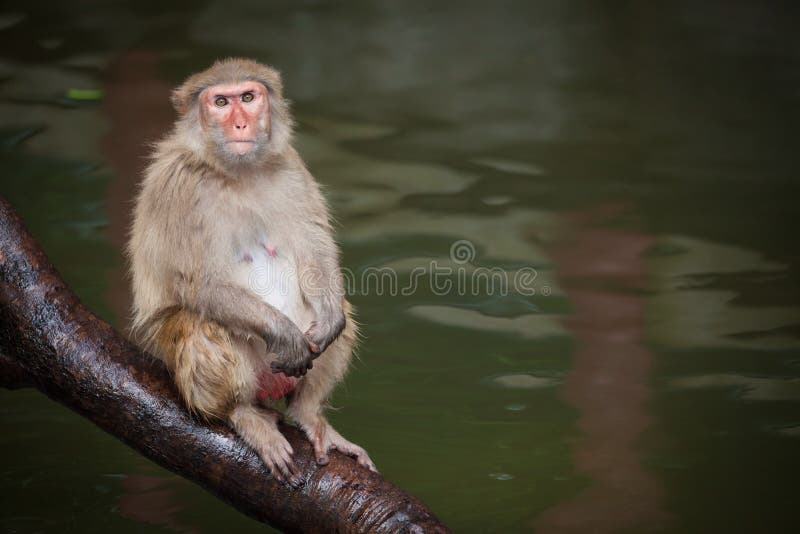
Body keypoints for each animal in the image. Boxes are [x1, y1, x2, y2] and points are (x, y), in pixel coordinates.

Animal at [127, 58, 375, 485]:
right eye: (221, 102)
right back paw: (240, 413)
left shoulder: (291, 168)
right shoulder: (178, 184)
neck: (236, 172)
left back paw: (307, 411)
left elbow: (315, 251)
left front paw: (328, 321)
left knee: (337, 311)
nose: (240, 124)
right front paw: (285, 334)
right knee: (198, 326)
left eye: (247, 97)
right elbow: (200, 284)